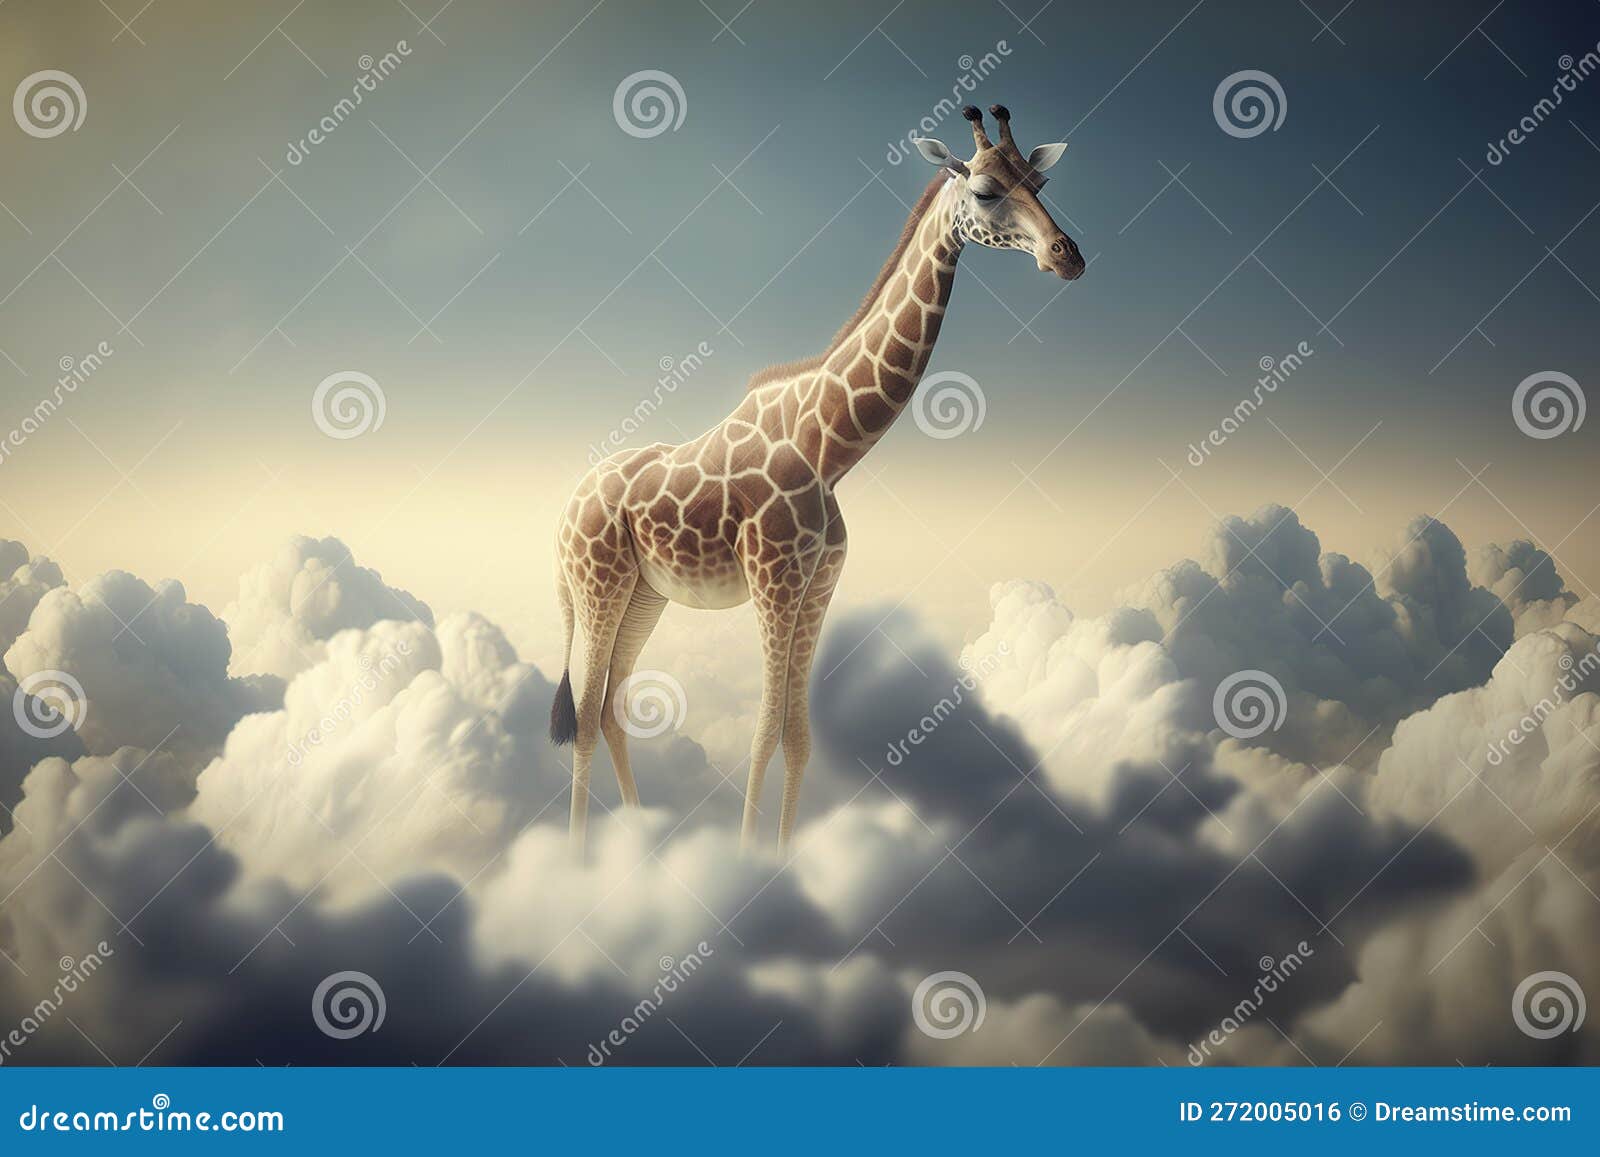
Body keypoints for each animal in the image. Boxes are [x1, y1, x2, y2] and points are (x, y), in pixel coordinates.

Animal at [550, 104, 1083, 854]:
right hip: (597, 584)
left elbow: (798, 738)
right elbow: (763, 733)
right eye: (984, 190)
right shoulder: (773, 581)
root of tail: (564, 511)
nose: (1068, 256)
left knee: (609, 708)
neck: (828, 447)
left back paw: (639, 837)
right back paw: (579, 855)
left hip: (644, 593)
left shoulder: (818, 584)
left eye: (1040, 181)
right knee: (586, 713)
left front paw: (782, 859)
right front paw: (750, 861)